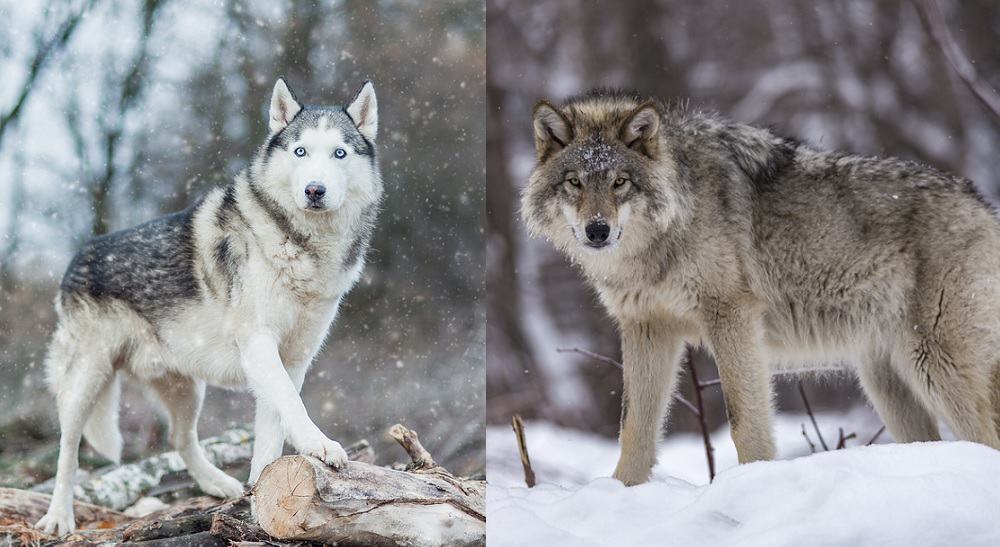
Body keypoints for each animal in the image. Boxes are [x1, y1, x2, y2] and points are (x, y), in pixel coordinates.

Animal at [35, 78, 381, 535]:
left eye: (339, 153)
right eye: (300, 152)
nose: (314, 190)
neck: (304, 246)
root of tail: (77, 256)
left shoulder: (293, 359)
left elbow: (271, 431)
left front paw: (261, 498)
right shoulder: (260, 346)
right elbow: (294, 405)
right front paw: (319, 446)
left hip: (186, 388)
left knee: (179, 439)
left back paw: (220, 485)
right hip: (86, 381)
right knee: (68, 448)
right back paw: (58, 517)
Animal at [522, 89, 1000, 486]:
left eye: (619, 182)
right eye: (575, 182)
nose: (597, 231)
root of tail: (981, 204)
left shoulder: (731, 314)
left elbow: (743, 420)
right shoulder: (645, 327)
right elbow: (634, 428)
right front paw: (622, 491)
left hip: (935, 368)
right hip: (888, 383)